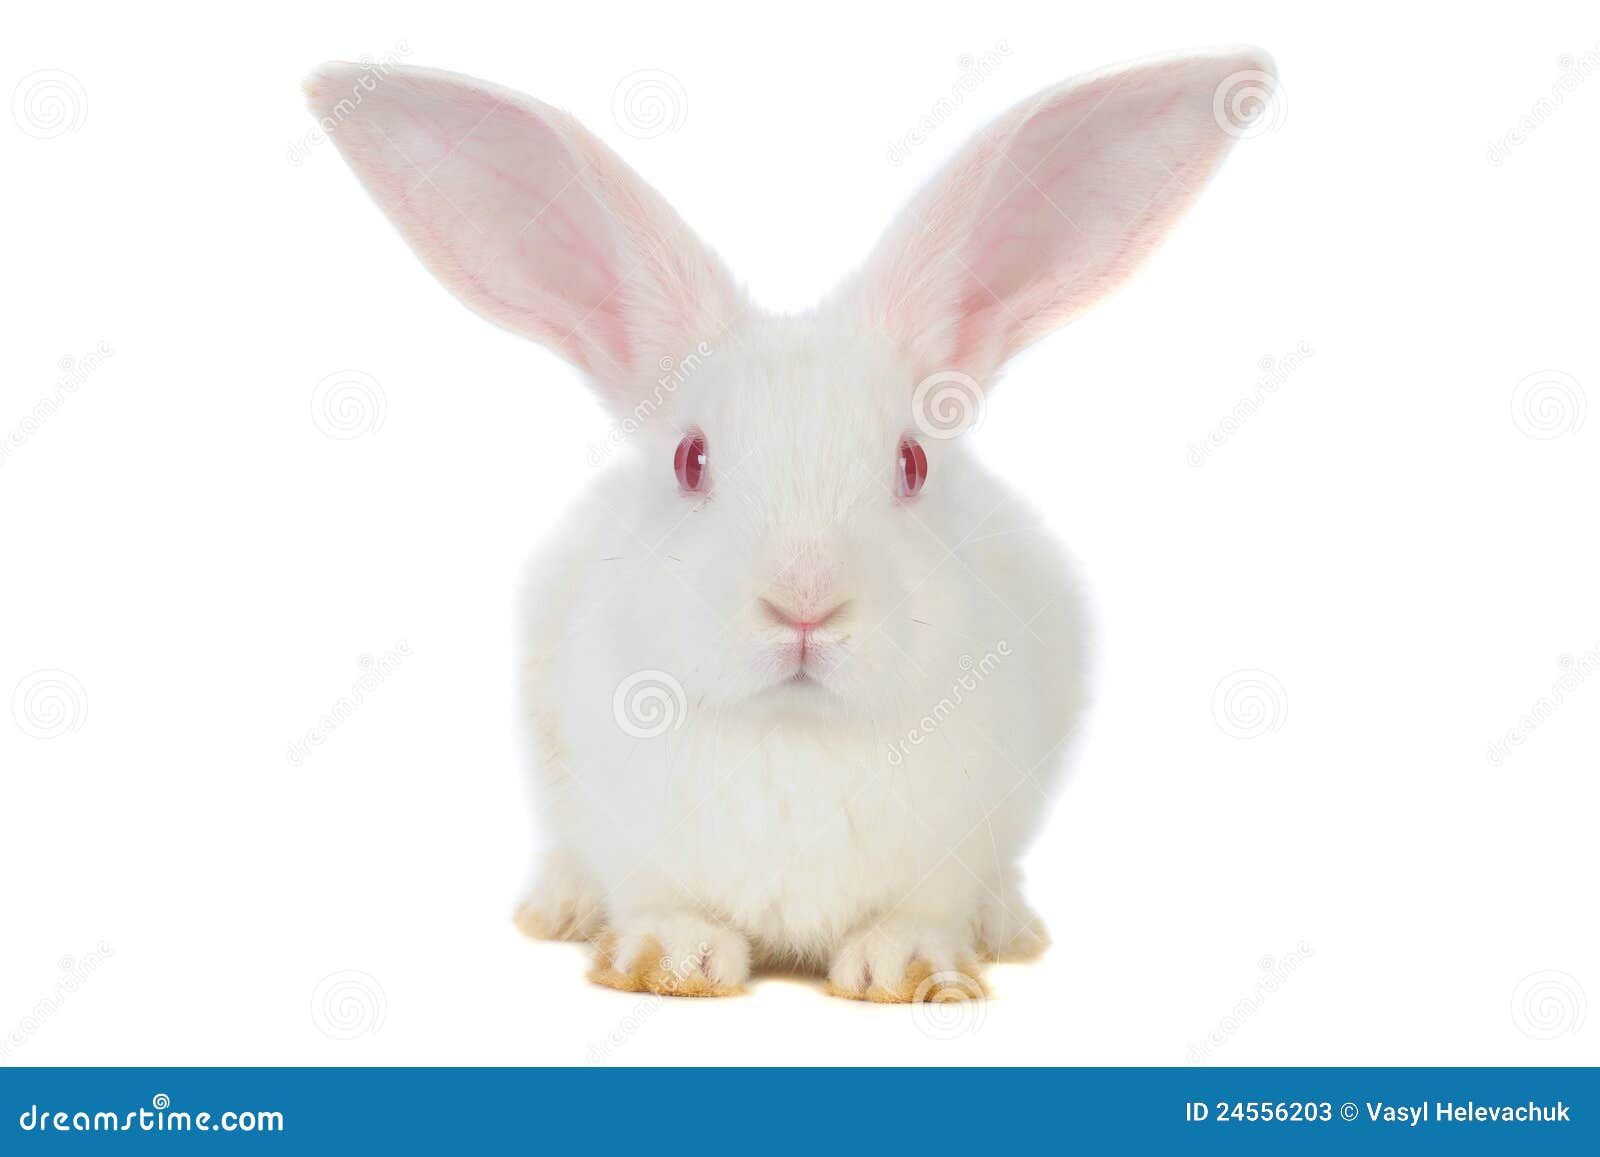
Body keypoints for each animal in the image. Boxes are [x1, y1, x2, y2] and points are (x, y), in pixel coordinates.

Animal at [305, 46, 1273, 1000]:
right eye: (689, 460)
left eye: (913, 464)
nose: (805, 602)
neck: (796, 733)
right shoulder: (623, 829)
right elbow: (658, 896)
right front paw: (672, 958)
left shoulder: (959, 841)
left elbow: (919, 910)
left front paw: (906, 966)